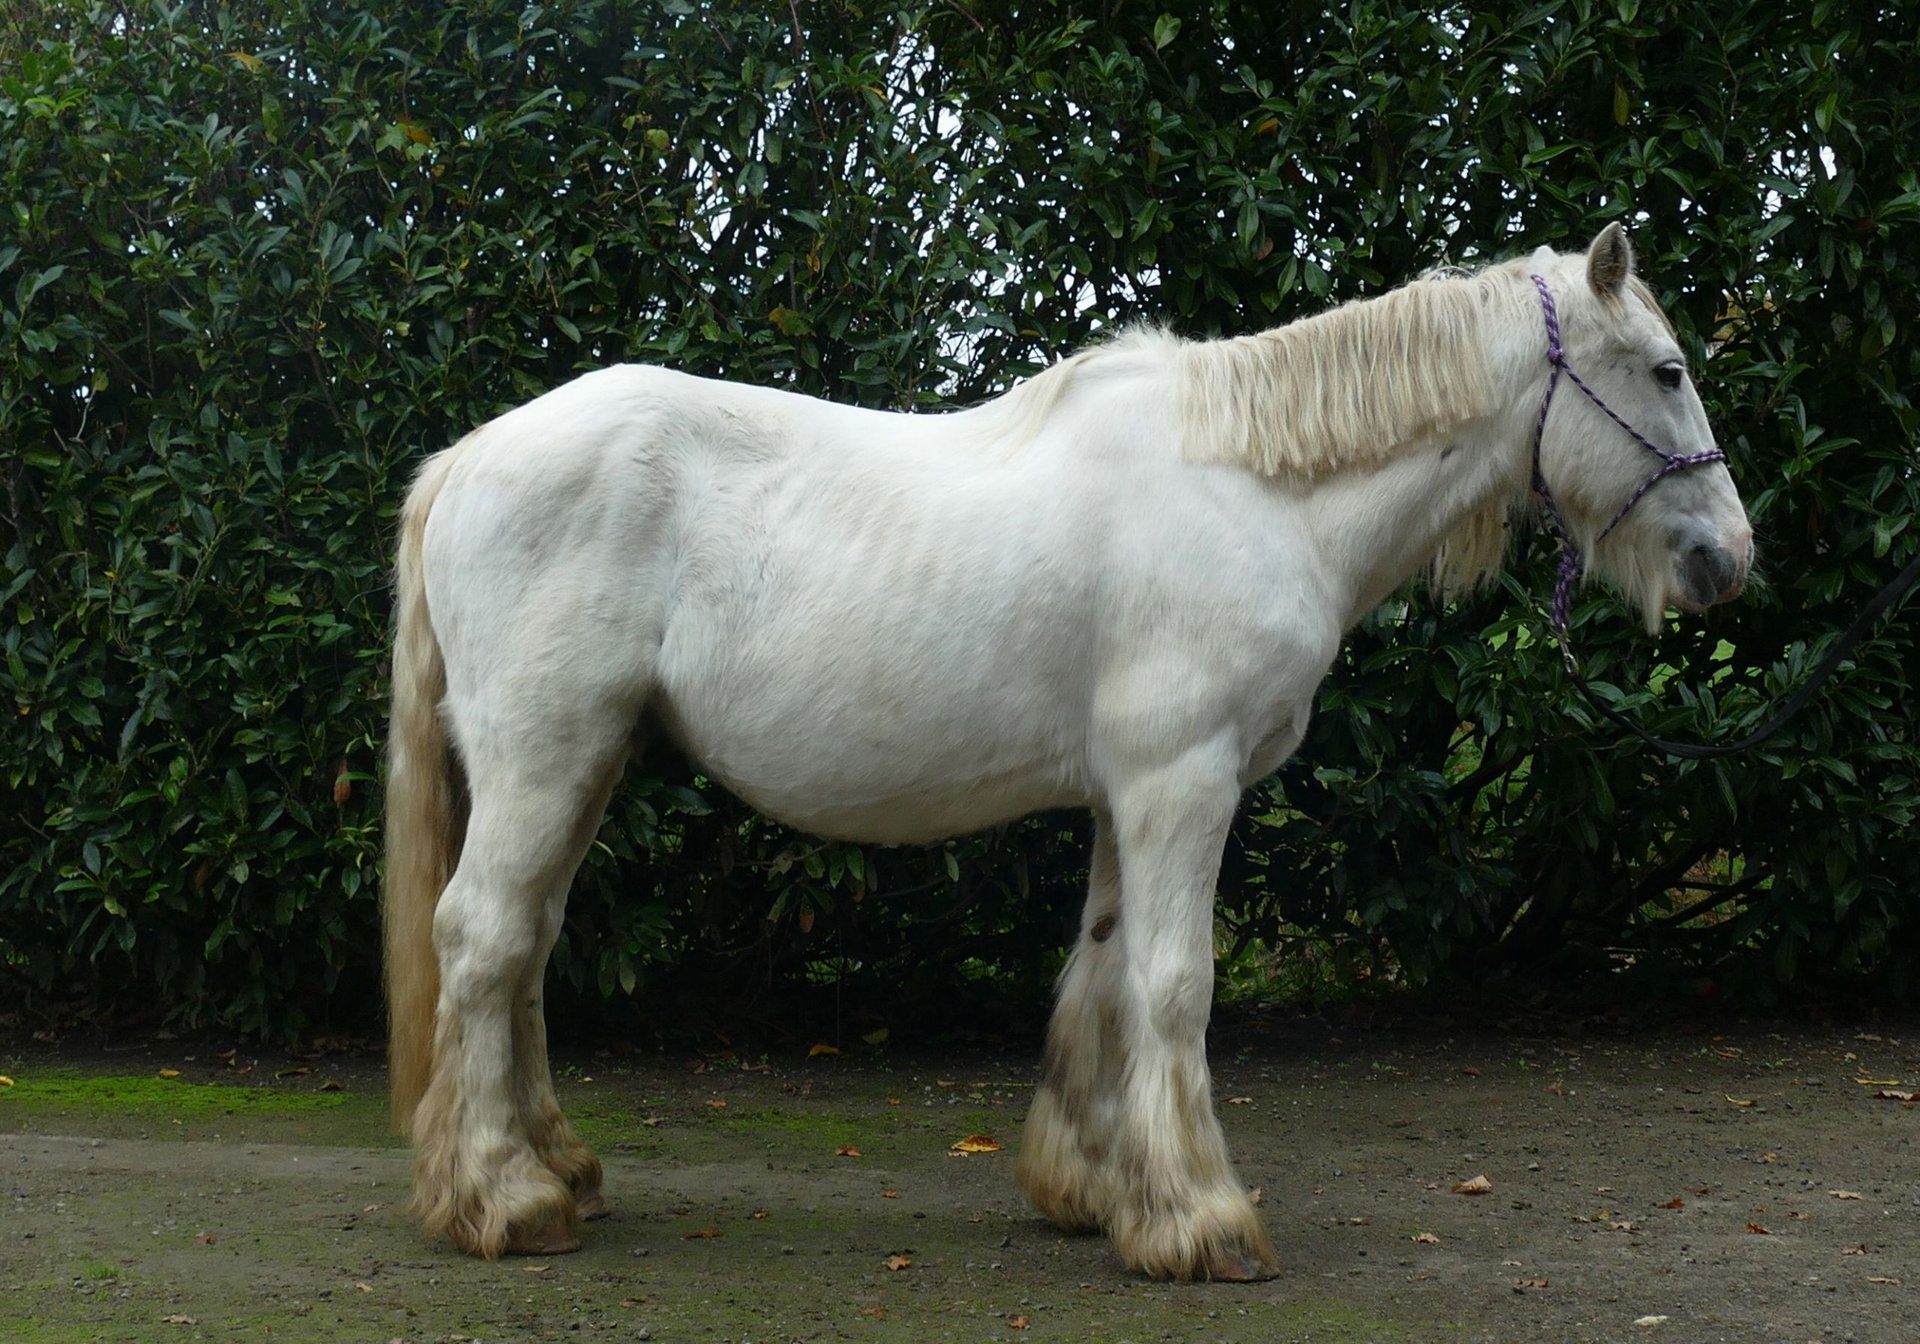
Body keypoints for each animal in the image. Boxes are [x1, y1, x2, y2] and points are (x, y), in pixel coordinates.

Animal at [381, 224, 1751, 1282]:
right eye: (1668, 370)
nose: (1728, 560)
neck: (1256, 493)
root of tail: (466, 461)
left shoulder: (1127, 795)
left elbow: (1100, 973)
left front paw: (1098, 1191)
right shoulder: (1183, 784)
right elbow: (1175, 985)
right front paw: (1204, 1221)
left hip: (581, 762)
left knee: (525, 945)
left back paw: (557, 1166)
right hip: (545, 756)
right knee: (484, 938)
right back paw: (505, 1199)